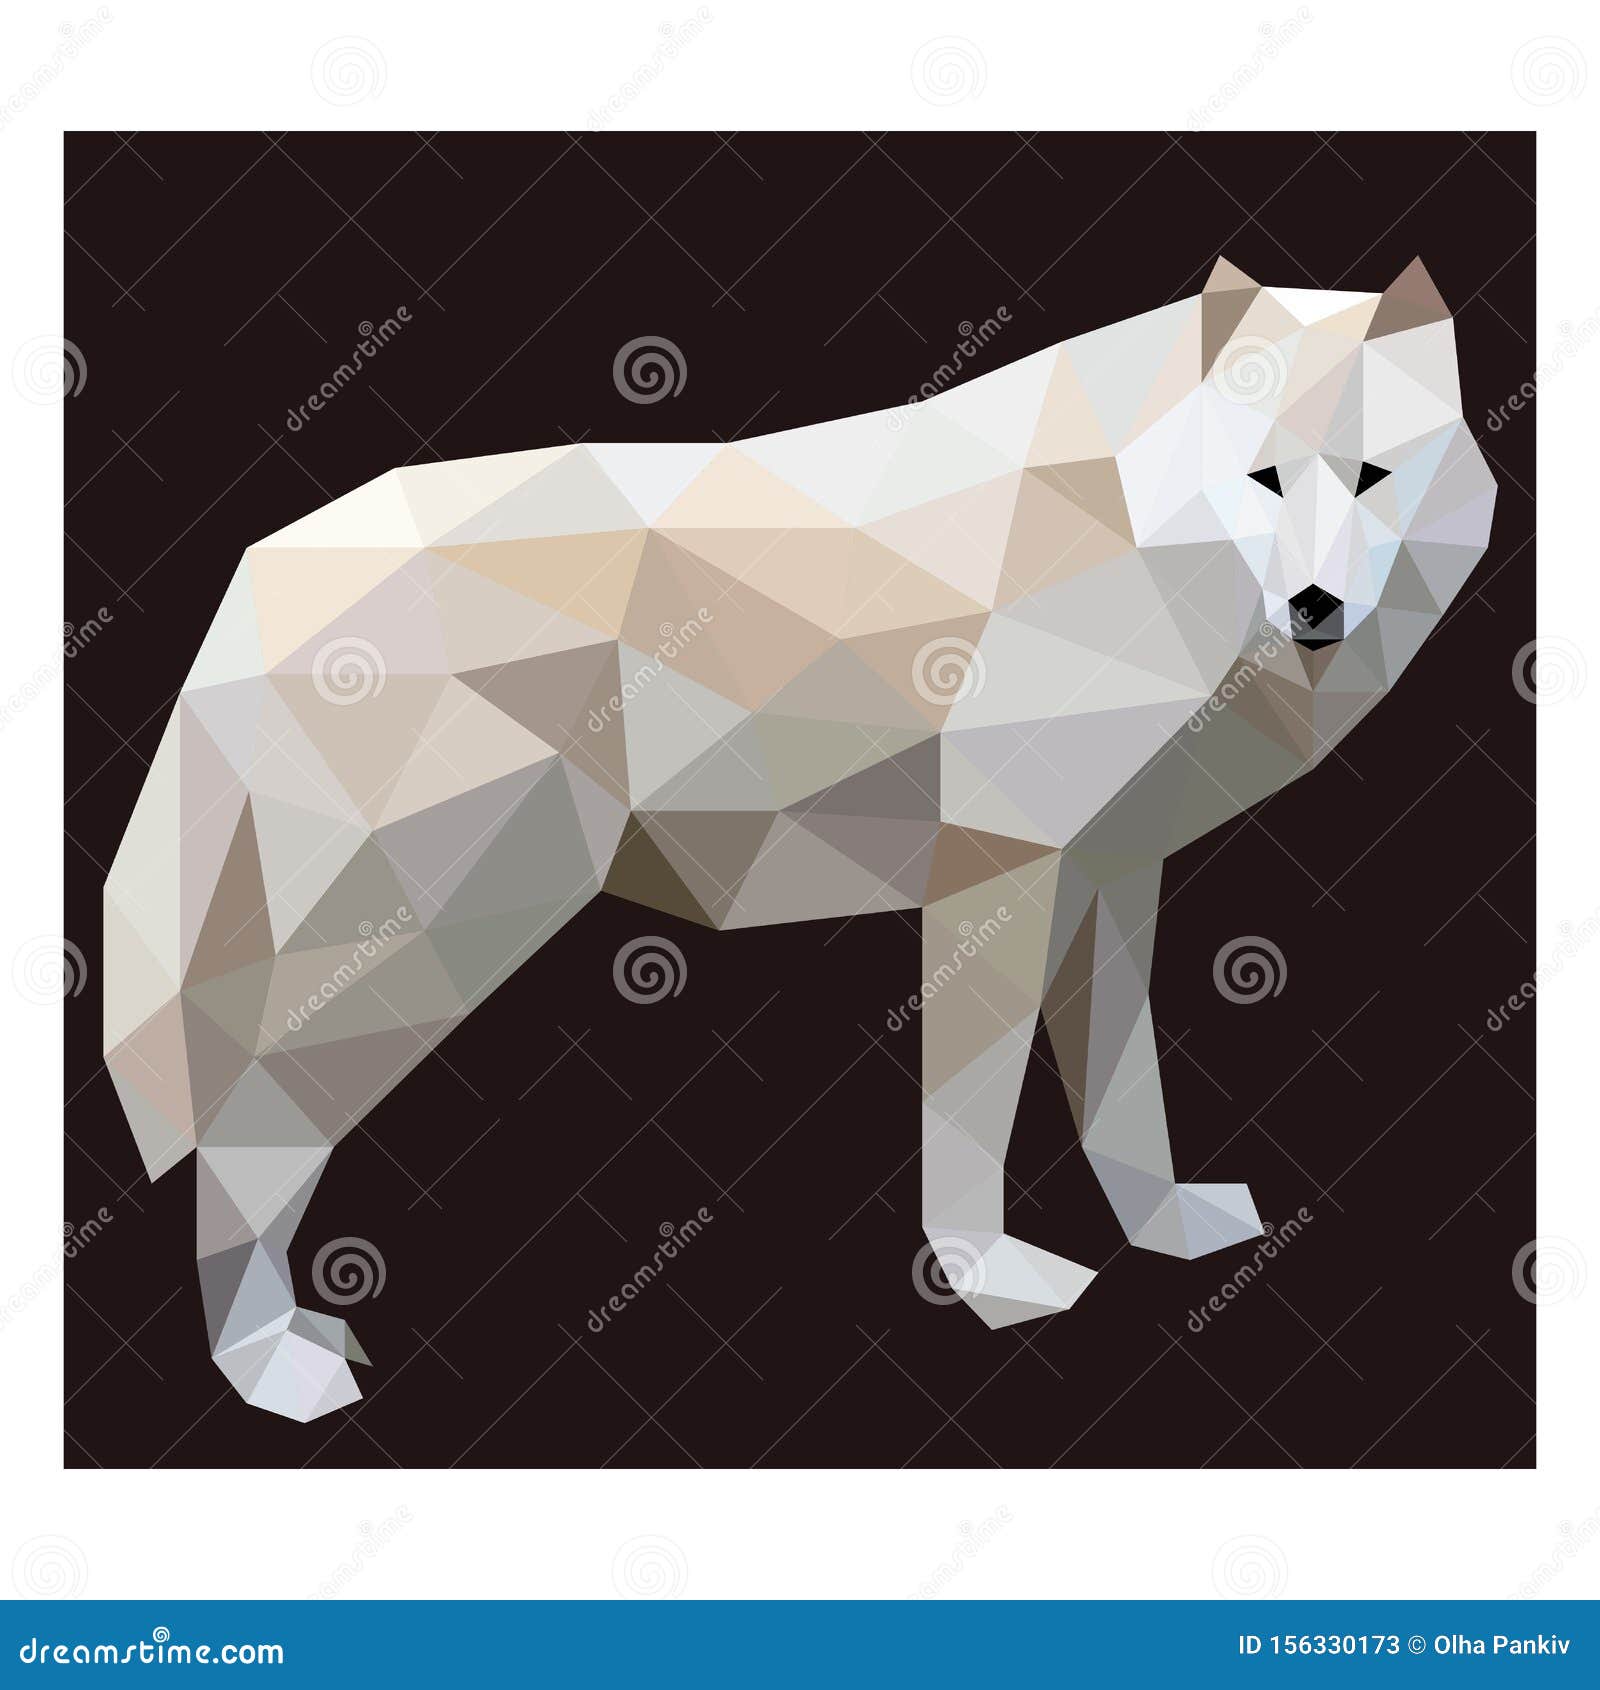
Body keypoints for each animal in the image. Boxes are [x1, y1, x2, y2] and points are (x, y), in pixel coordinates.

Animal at [102, 258, 1495, 1420]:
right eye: (1265, 480)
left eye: (1372, 477)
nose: (1313, 602)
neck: (1141, 531)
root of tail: (256, 574)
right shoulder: (996, 883)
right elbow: (972, 1123)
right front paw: (990, 1281)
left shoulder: (1112, 878)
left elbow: (1120, 1093)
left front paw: (1166, 1225)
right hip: (398, 960)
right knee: (245, 1143)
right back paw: (270, 1366)